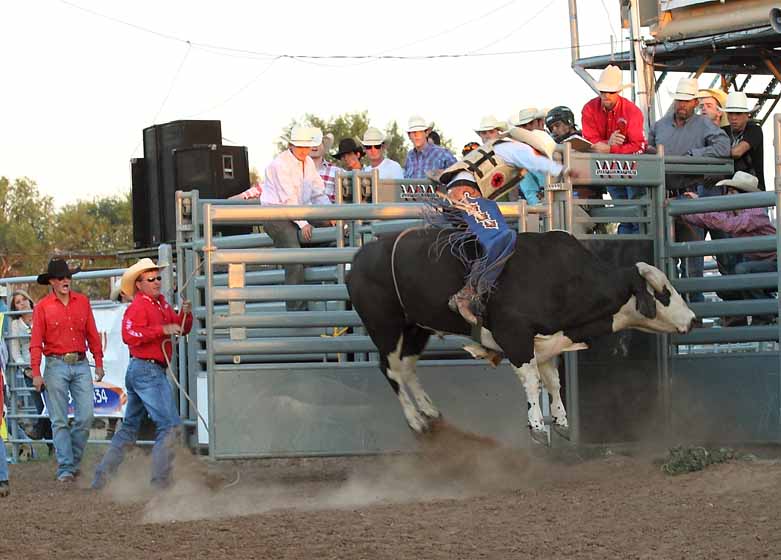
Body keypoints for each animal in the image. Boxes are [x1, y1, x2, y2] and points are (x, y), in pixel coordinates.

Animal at [346, 228, 695, 444]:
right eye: (663, 293)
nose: (692, 320)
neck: (562, 277)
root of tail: (359, 259)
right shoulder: (514, 336)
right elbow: (532, 380)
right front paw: (538, 426)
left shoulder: (549, 340)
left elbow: (552, 380)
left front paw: (562, 421)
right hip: (385, 326)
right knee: (391, 369)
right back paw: (416, 420)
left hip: (416, 327)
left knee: (407, 367)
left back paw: (429, 411)